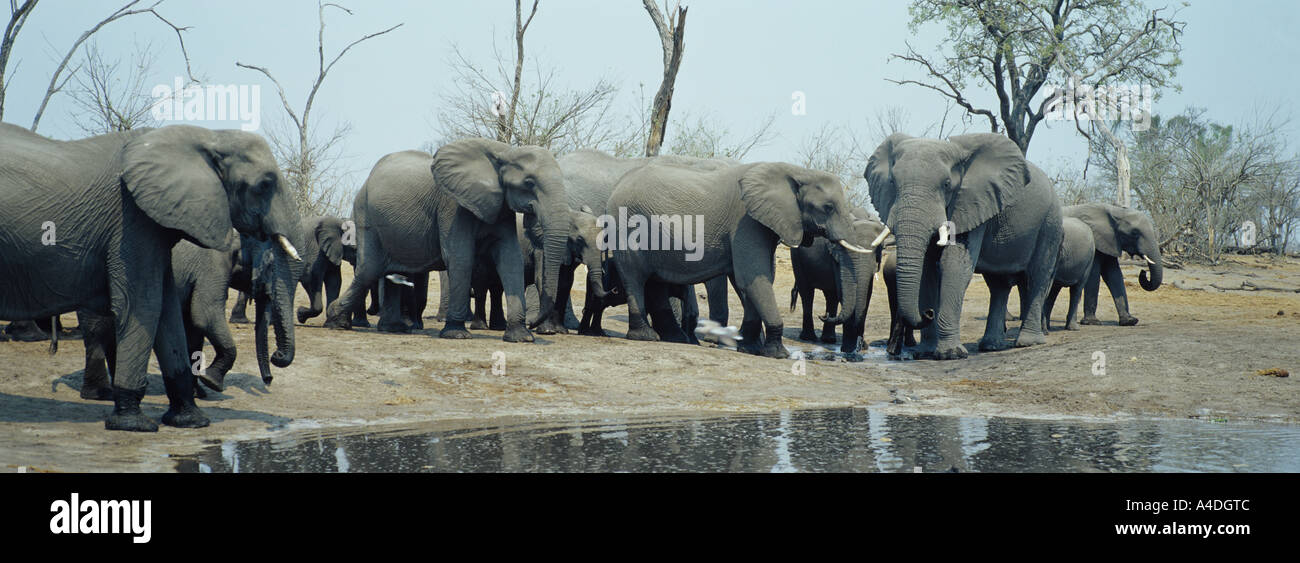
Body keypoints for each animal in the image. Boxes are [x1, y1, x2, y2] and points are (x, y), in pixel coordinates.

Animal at [0, 123, 301, 431]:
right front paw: (137, 423)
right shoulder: (134, 224)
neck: (209, 135)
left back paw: (104, 395)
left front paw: (191, 419)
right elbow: (169, 309)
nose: (274, 366)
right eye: (264, 185)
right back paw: (104, 396)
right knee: (101, 330)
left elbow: (171, 312)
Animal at [325, 139, 570, 343]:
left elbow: (510, 260)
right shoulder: (452, 206)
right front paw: (456, 334)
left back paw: (392, 329)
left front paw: (521, 337)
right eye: (529, 183)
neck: (504, 151)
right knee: (369, 269)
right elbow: (460, 257)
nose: (533, 322)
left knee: (391, 272)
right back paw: (336, 321)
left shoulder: (502, 208)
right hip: (365, 214)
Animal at [606, 160, 873, 358]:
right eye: (828, 207)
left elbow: (754, 279)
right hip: (627, 228)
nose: (824, 315)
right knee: (636, 277)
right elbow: (753, 278)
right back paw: (645, 337)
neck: (795, 170)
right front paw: (777, 354)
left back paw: (676, 340)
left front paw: (750, 348)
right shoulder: (746, 222)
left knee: (655, 283)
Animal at [788, 208, 888, 353]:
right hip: (796, 256)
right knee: (807, 293)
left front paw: (860, 347)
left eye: (877, 251)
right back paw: (809, 338)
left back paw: (829, 339)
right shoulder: (837, 257)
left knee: (831, 297)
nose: (823, 316)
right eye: (845, 248)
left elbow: (866, 295)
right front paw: (848, 349)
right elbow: (844, 292)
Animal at [866, 132, 1062, 360]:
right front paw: (925, 353)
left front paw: (950, 355)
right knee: (998, 285)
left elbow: (954, 266)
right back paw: (991, 346)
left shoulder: (971, 202)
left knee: (1038, 276)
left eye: (947, 184)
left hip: (1050, 223)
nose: (928, 312)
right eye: (892, 182)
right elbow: (927, 269)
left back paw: (1027, 343)